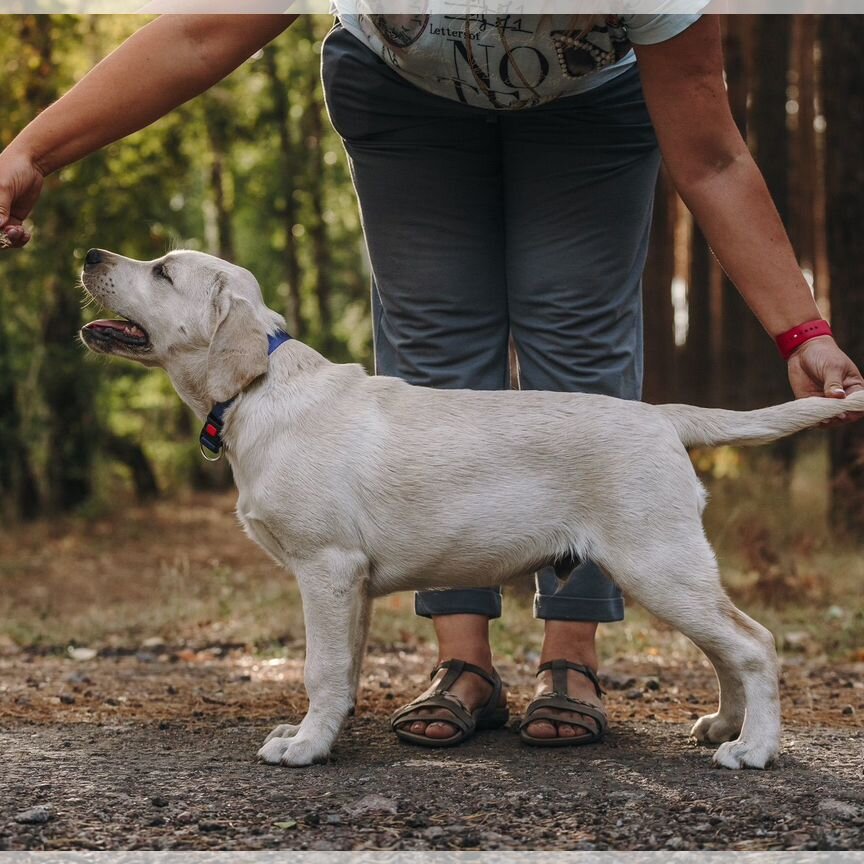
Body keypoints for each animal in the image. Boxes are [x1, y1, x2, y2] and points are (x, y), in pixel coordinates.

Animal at [81, 248, 864, 768]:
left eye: (162, 272)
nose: (90, 255)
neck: (261, 389)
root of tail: (663, 416)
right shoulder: (351, 585)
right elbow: (346, 668)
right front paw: (323, 733)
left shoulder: (326, 568)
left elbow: (320, 669)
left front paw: (303, 747)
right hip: (673, 571)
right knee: (729, 645)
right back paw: (724, 727)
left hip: (658, 564)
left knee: (753, 643)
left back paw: (754, 750)